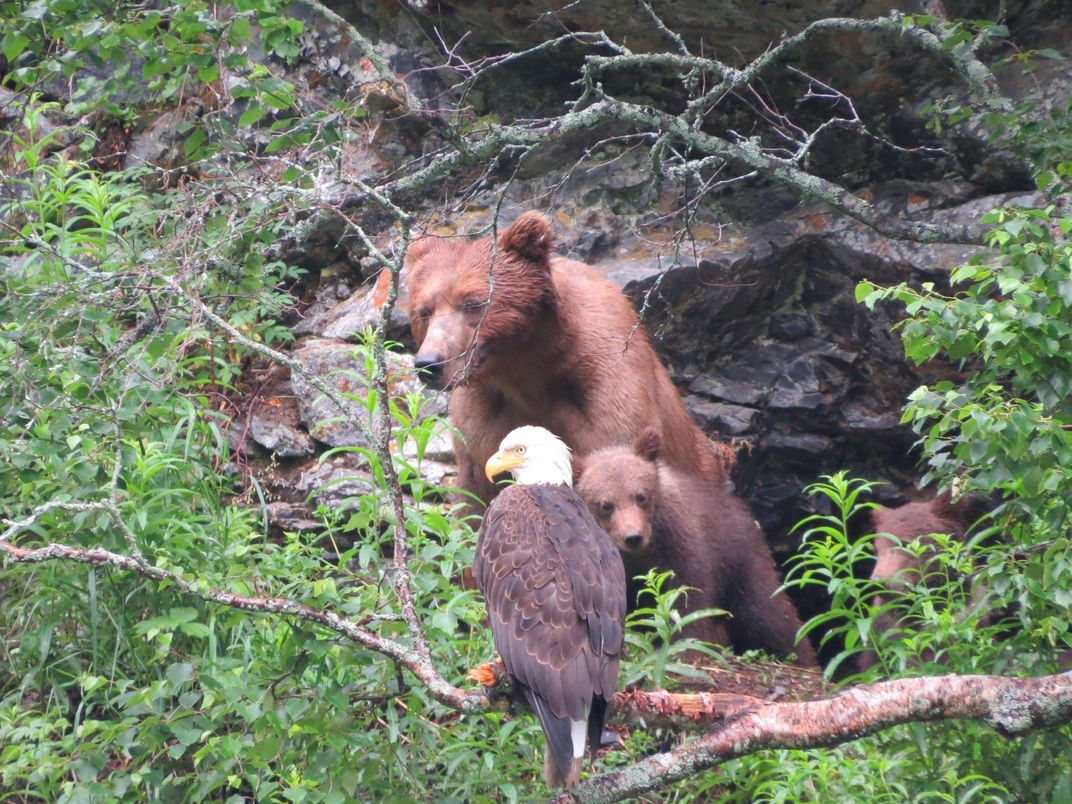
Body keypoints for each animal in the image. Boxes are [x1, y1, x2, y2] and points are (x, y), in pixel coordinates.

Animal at [404, 210, 730, 511]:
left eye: (473, 303)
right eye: (424, 310)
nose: (429, 363)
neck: (527, 369)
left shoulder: (608, 394)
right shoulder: (481, 422)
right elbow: (476, 496)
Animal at [574, 427, 817, 667]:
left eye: (640, 496)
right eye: (606, 505)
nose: (633, 537)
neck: (642, 554)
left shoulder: (680, 541)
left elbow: (687, 593)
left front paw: (684, 647)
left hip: (742, 560)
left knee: (768, 613)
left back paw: (802, 656)